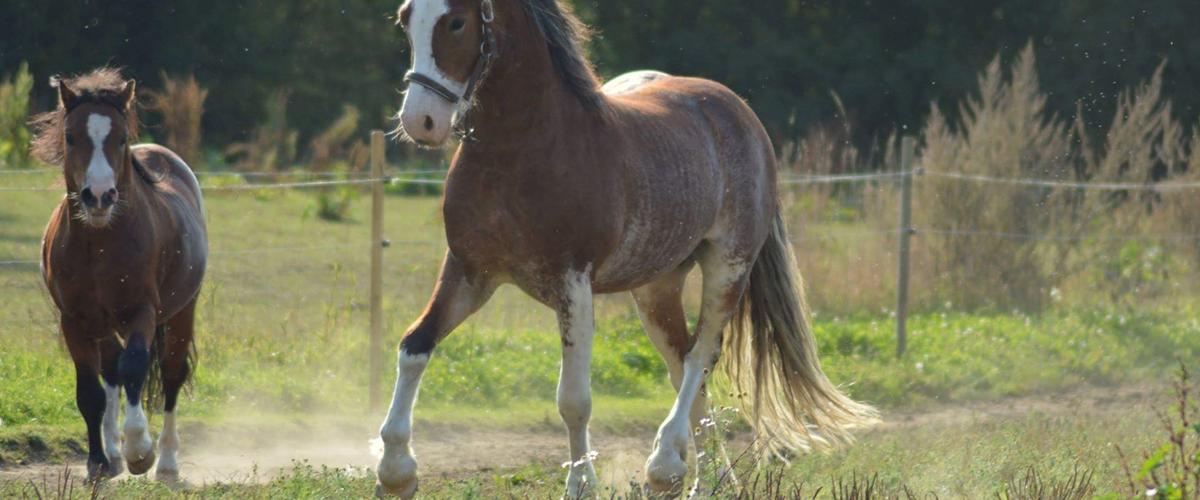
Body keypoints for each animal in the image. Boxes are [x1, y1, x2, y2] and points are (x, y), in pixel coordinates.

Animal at [31, 68, 208, 481]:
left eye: (121, 138)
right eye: (70, 136)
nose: (99, 196)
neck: (99, 244)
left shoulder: (140, 311)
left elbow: (135, 367)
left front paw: (140, 451)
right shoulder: (74, 321)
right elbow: (90, 391)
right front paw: (97, 462)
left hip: (182, 311)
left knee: (170, 373)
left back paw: (167, 464)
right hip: (103, 323)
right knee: (109, 371)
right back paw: (112, 453)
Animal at [378, 0, 879, 496]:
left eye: (456, 22)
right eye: (405, 18)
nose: (420, 122)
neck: (521, 150)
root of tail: (740, 113)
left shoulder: (571, 281)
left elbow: (574, 399)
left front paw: (582, 485)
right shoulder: (469, 272)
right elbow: (413, 346)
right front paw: (395, 471)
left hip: (728, 266)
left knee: (699, 358)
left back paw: (665, 465)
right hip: (656, 290)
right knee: (683, 366)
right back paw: (709, 481)